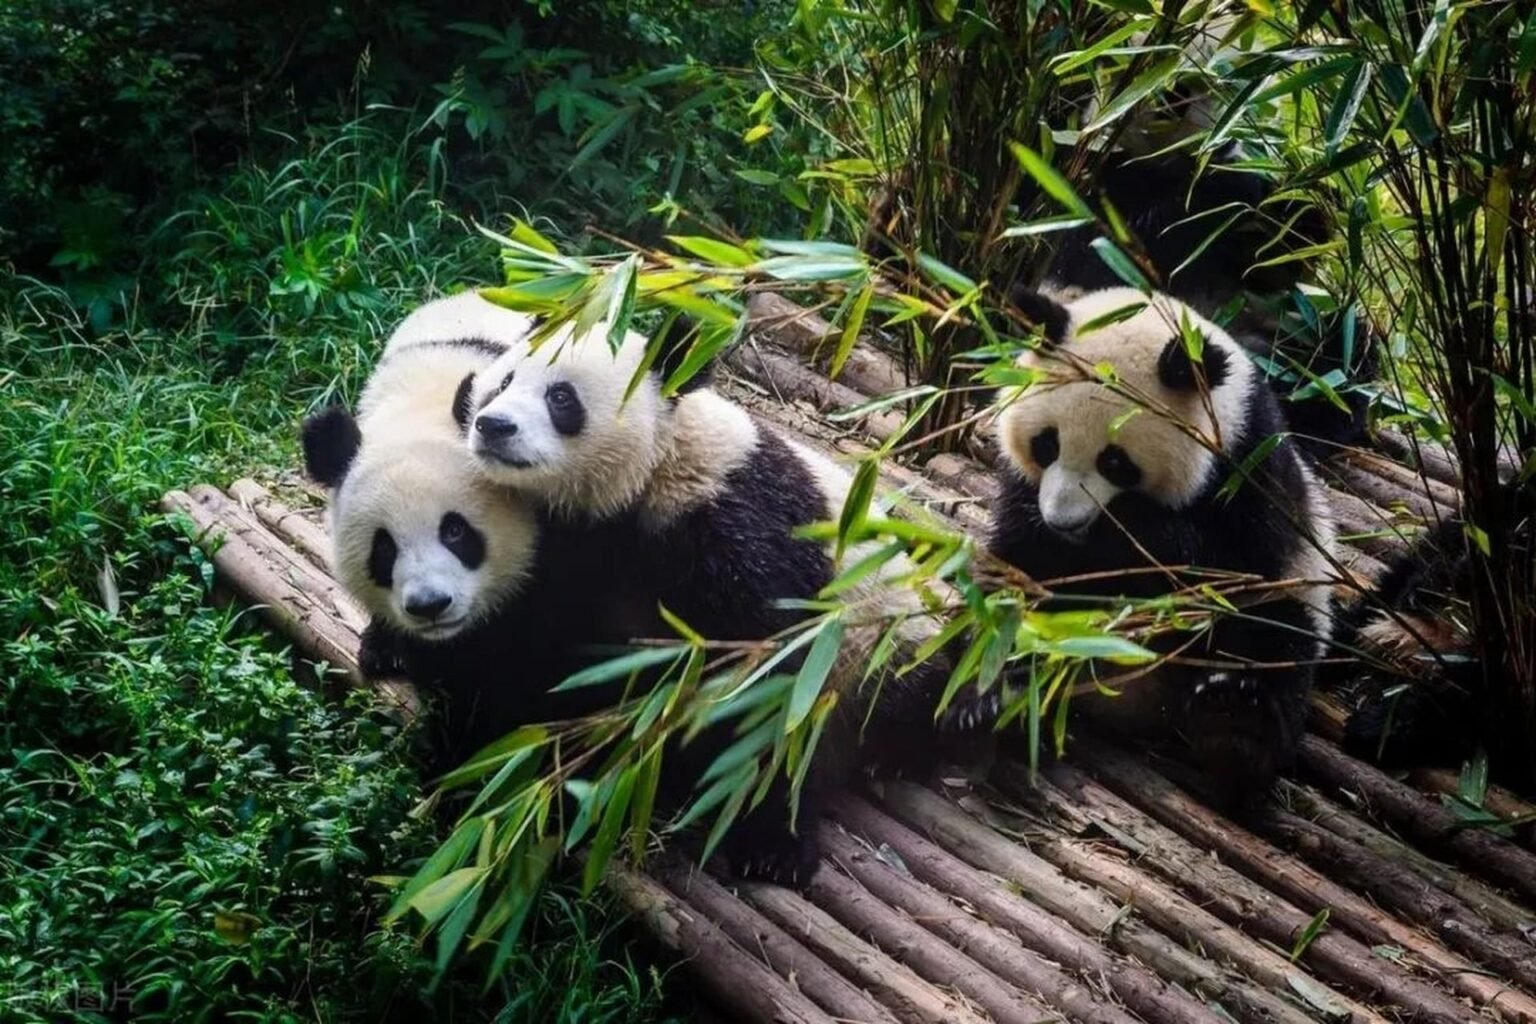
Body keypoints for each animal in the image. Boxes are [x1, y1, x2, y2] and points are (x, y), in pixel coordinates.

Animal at [453, 313, 972, 883]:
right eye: (502, 382)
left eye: (561, 398)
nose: (493, 426)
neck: (654, 472)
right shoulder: (577, 550)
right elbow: (547, 651)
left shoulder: (740, 522)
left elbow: (772, 681)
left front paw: (774, 846)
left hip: (893, 631)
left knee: (917, 686)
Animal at [990, 285, 1340, 804]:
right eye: (1046, 444)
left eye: (1115, 462)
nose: (1063, 520)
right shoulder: (1022, 497)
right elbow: (1020, 559)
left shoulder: (1251, 474)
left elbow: (1220, 564)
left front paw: (1131, 531)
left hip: (1294, 599)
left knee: (1272, 639)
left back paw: (1232, 729)